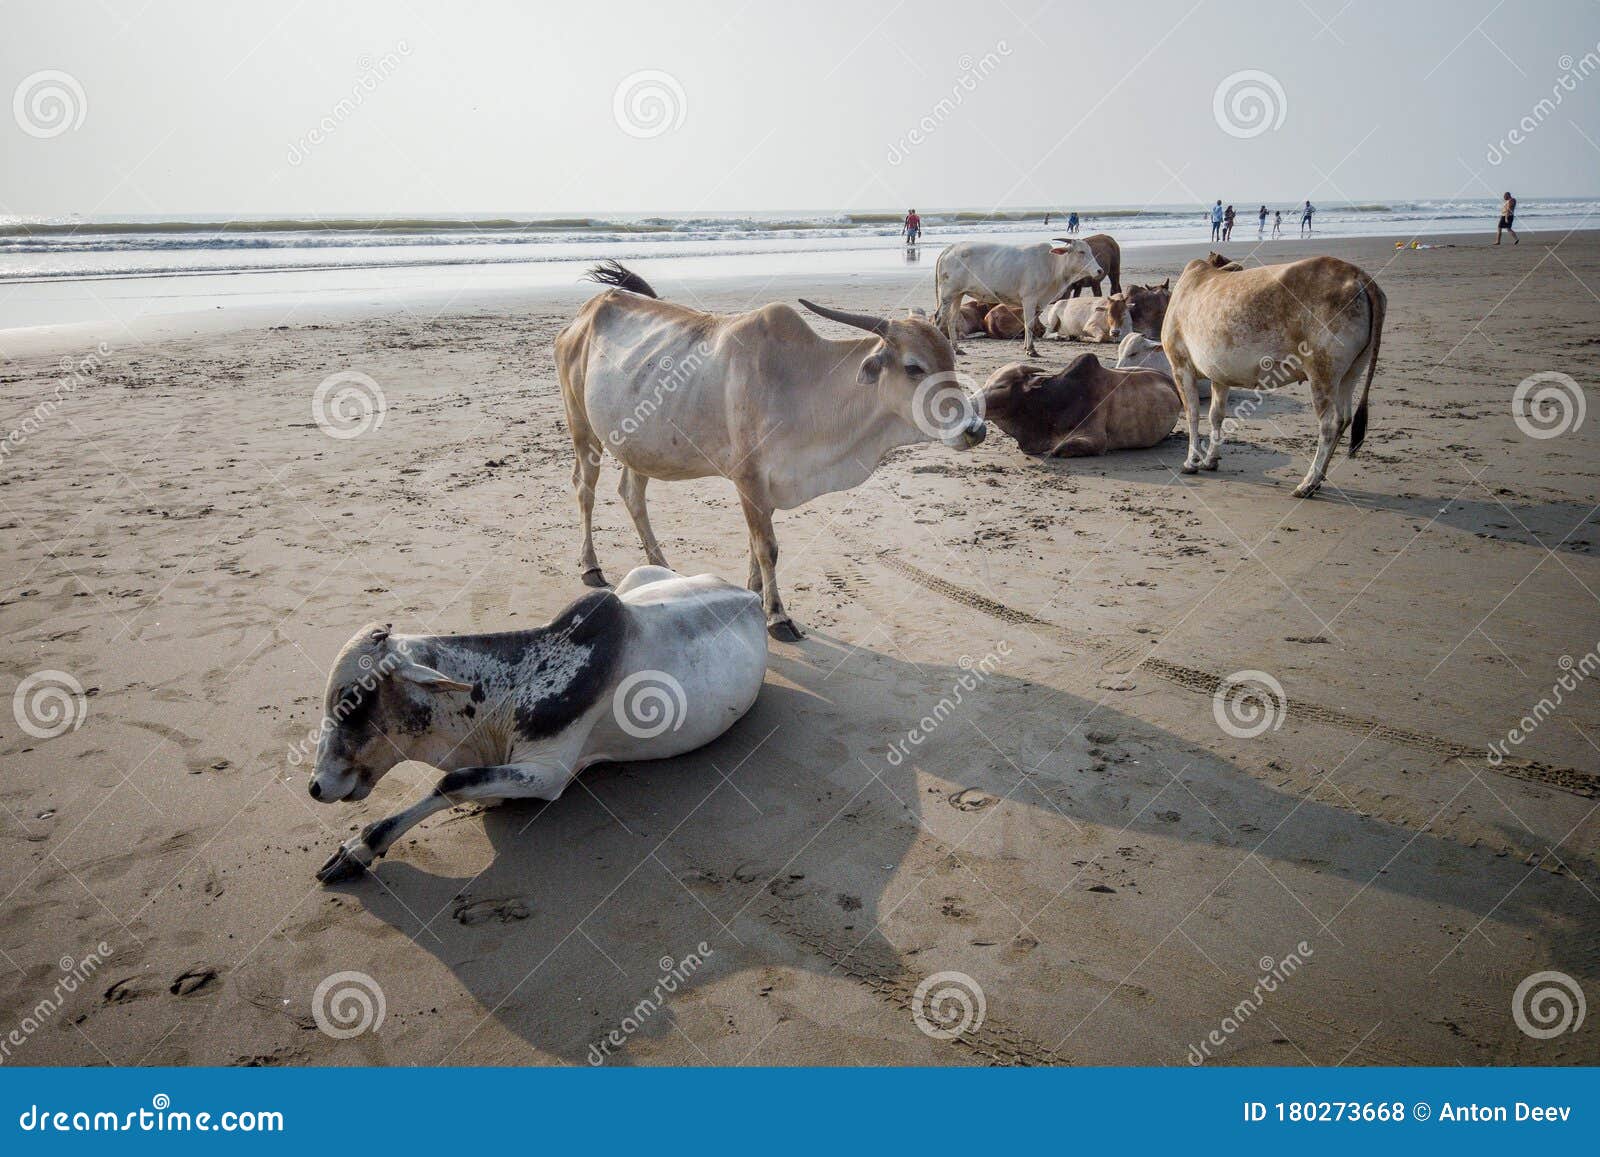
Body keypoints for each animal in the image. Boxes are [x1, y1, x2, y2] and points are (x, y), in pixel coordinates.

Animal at [310, 567, 768, 883]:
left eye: (352, 703)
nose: (315, 787)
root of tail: (752, 595)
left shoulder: (547, 773)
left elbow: (453, 782)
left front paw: (359, 848)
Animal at [557, 262, 986, 641]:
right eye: (914, 367)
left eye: (950, 358)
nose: (975, 429)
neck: (802, 384)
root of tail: (588, 311)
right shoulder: (748, 477)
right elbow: (767, 547)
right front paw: (778, 616)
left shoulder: (767, 485)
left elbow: (755, 544)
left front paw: (755, 593)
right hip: (582, 427)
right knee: (585, 488)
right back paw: (591, 566)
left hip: (639, 445)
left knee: (632, 493)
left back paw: (662, 566)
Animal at [933, 238, 1102, 357]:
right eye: (1081, 252)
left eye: (1089, 250)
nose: (1099, 270)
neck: (1052, 265)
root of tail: (951, 248)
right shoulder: (1029, 299)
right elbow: (1029, 324)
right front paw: (1031, 350)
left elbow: (1029, 324)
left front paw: (1027, 347)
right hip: (947, 294)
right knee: (938, 318)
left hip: (958, 294)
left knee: (951, 320)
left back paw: (957, 349)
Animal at [1162, 252, 1386, 496]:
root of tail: (1359, 276)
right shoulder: (1219, 375)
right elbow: (1216, 415)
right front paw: (1210, 460)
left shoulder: (1180, 365)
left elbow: (1192, 413)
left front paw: (1190, 462)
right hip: (1351, 372)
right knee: (1345, 417)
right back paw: (1319, 479)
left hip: (1321, 372)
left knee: (1329, 424)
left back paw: (1307, 483)